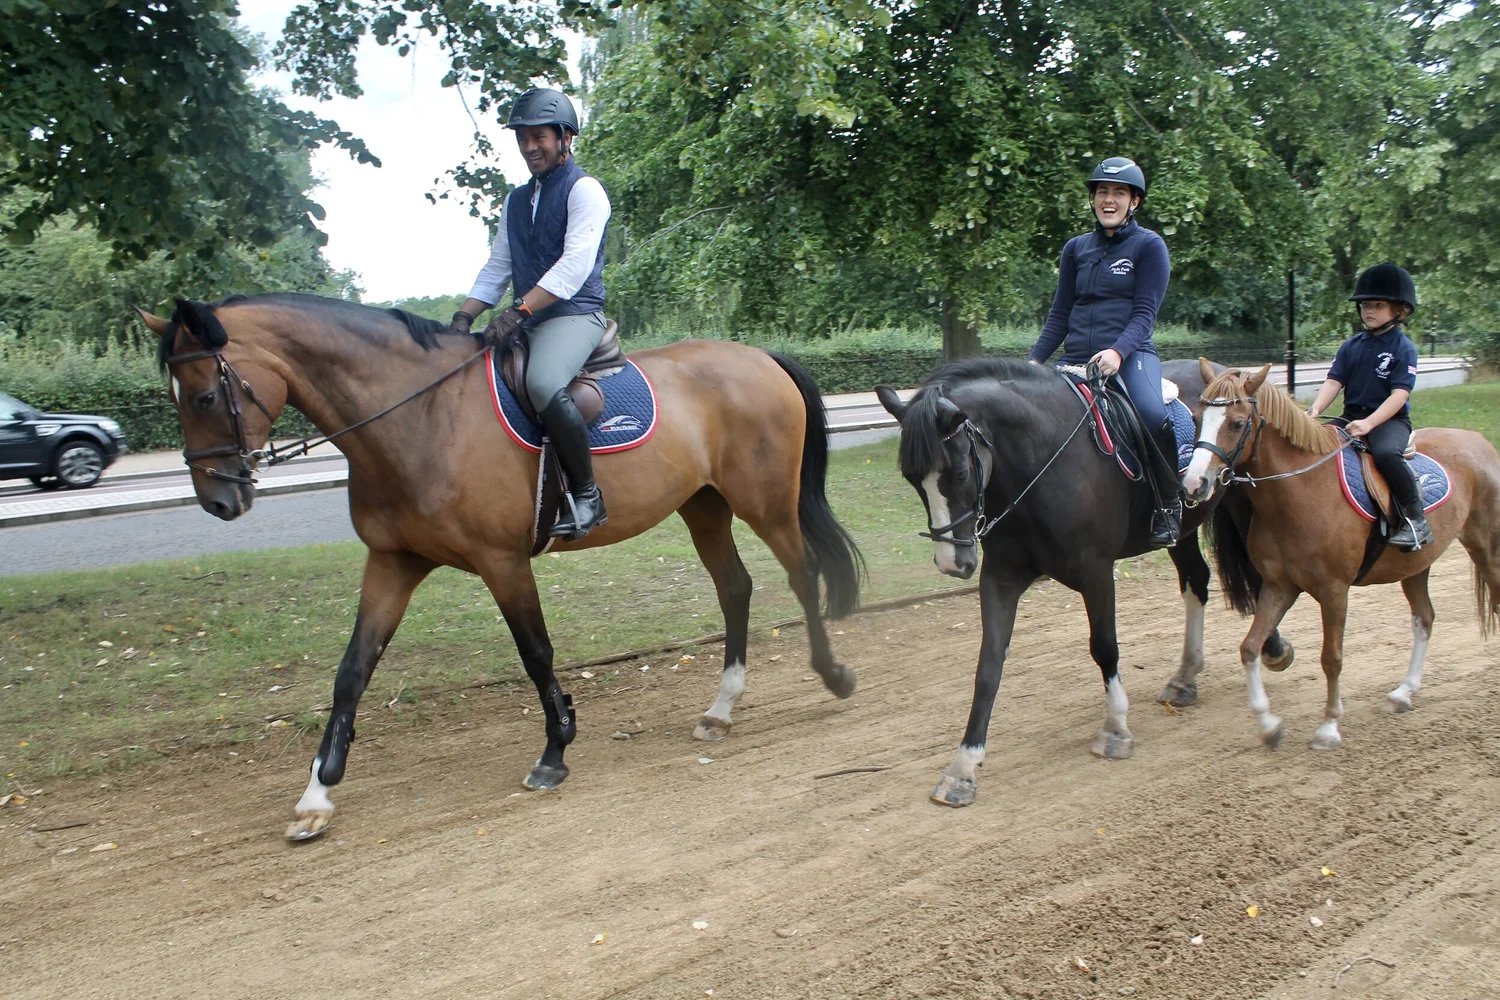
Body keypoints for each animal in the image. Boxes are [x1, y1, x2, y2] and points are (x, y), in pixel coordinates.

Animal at [136, 293, 863, 840]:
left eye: (203, 397)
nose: (218, 500)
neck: (419, 418)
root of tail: (756, 356)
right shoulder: (392, 563)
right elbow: (351, 674)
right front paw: (317, 794)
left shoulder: (502, 561)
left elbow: (536, 654)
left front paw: (556, 750)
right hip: (703, 507)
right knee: (735, 588)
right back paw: (721, 709)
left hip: (765, 502)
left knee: (801, 576)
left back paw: (833, 675)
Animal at [875, 356, 1292, 807]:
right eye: (912, 478)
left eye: (960, 472)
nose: (952, 563)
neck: (1038, 461)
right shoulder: (1001, 575)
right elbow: (989, 665)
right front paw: (963, 767)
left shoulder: (1096, 570)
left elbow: (1104, 647)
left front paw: (1115, 729)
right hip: (1183, 531)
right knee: (1196, 580)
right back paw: (1185, 677)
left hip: (1247, 506)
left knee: (1259, 575)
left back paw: (1272, 648)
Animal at [1183, 360, 1500, 749]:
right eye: (1197, 418)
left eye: (1237, 423)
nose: (1194, 483)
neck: (1299, 492)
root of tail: (1479, 441)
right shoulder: (1278, 586)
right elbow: (1250, 647)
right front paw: (1269, 725)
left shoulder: (1334, 591)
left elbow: (1331, 658)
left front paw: (1329, 726)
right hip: (1416, 566)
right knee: (1424, 619)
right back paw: (1404, 693)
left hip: (1487, 548)